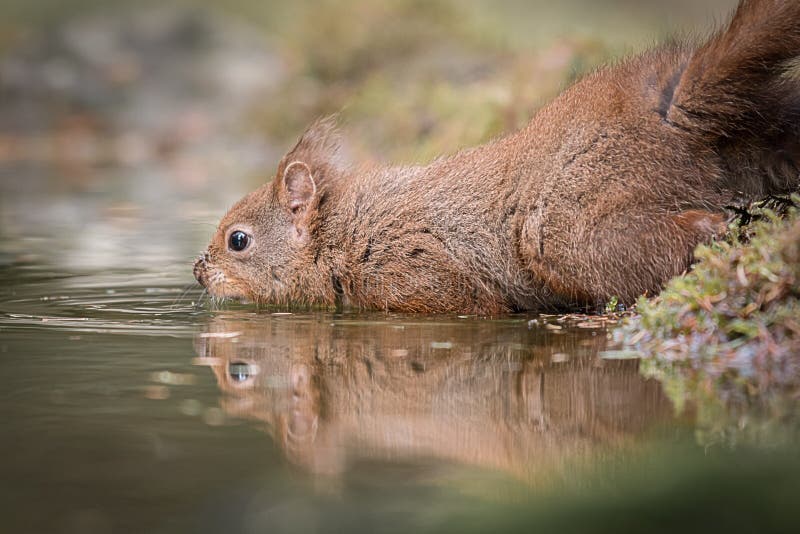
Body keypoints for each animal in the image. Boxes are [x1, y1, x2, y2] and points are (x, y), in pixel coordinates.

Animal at [195, 0, 800, 314]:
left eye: (238, 240)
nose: (199, 272)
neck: (342, 232)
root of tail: (668, 112)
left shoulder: (420, 275)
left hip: (568, 228)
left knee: (680, 233)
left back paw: (723, 227)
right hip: (764, 131)